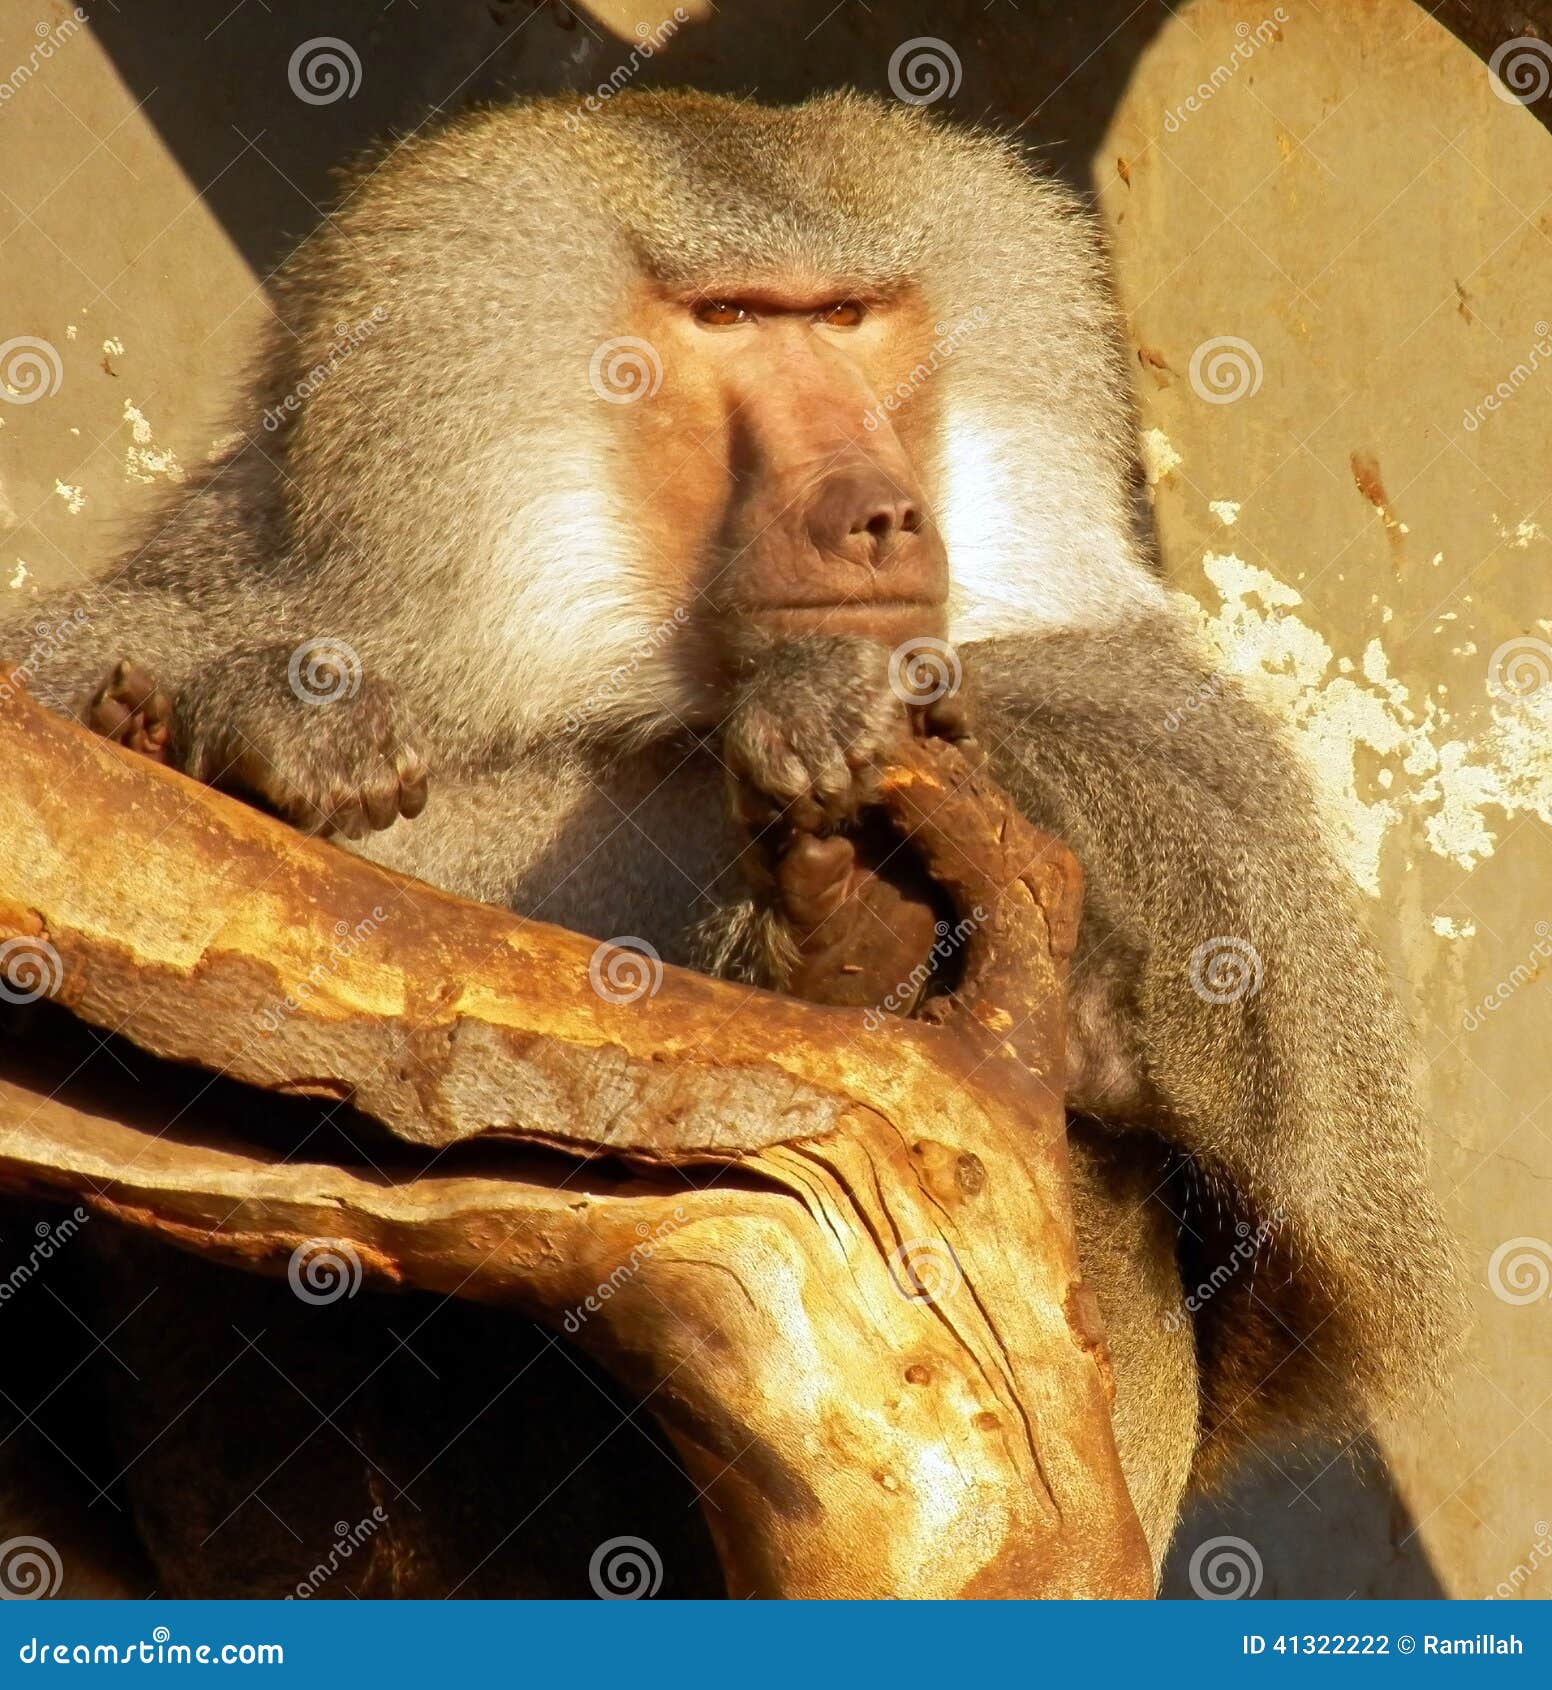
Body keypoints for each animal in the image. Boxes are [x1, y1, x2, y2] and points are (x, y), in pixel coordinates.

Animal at [1, 88, 1457, 1593]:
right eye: (732, 318)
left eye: (851, 317)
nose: (881, 510)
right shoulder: (178, 614)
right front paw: (247, 736)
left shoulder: (1193, 770)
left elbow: (1277, 1281)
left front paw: (855, 746)